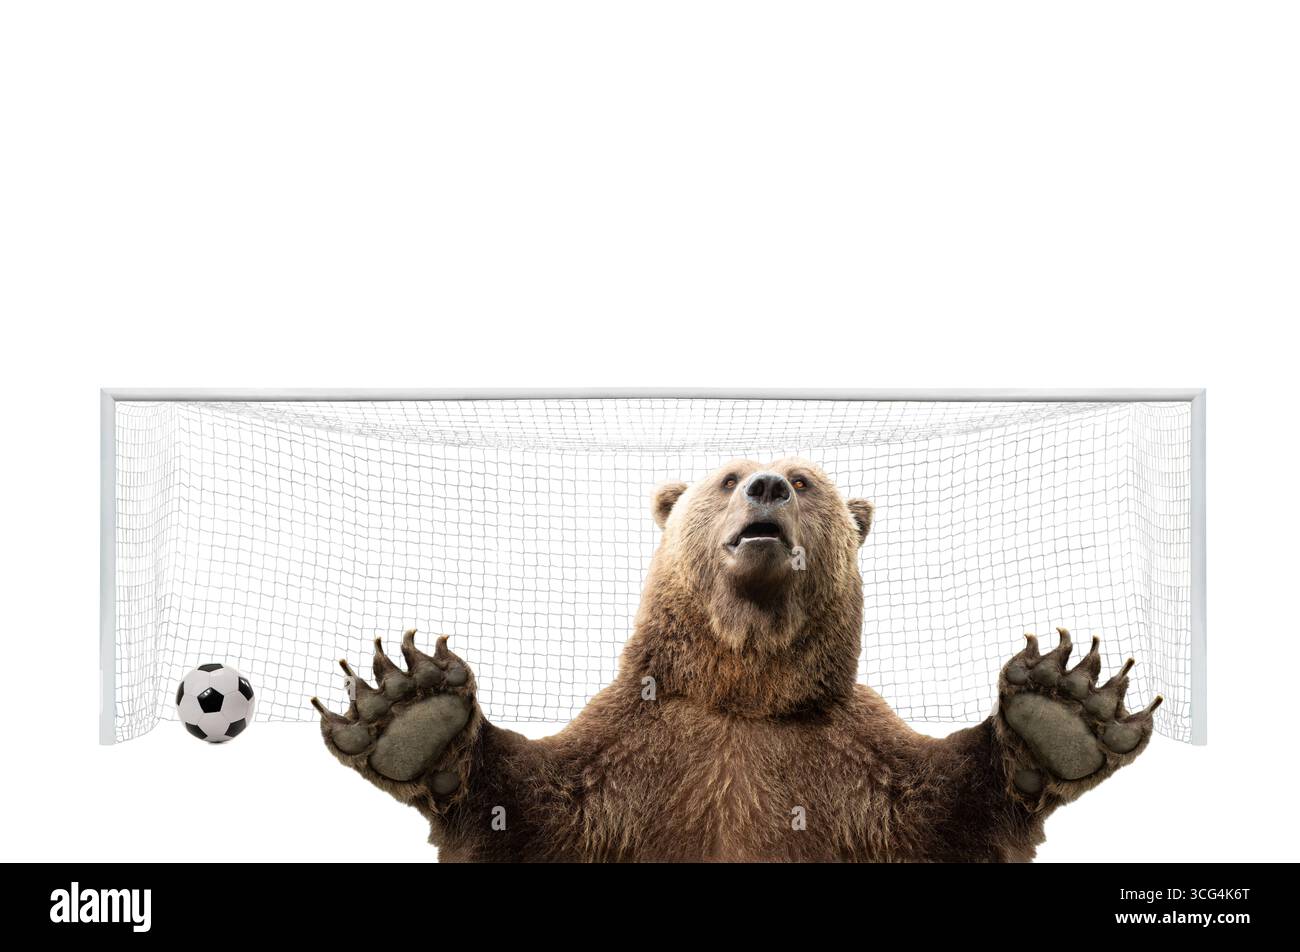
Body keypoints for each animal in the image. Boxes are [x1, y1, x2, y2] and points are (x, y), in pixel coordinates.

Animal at [313, 458, 1161, 861]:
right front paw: (411, 710)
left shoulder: (856, 766)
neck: (745, 693)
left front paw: (1062, 709)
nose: (767, 486)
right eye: (727, 477)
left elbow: (948, 808)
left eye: (807, 480)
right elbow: (528, 808)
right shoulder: (633, 754)